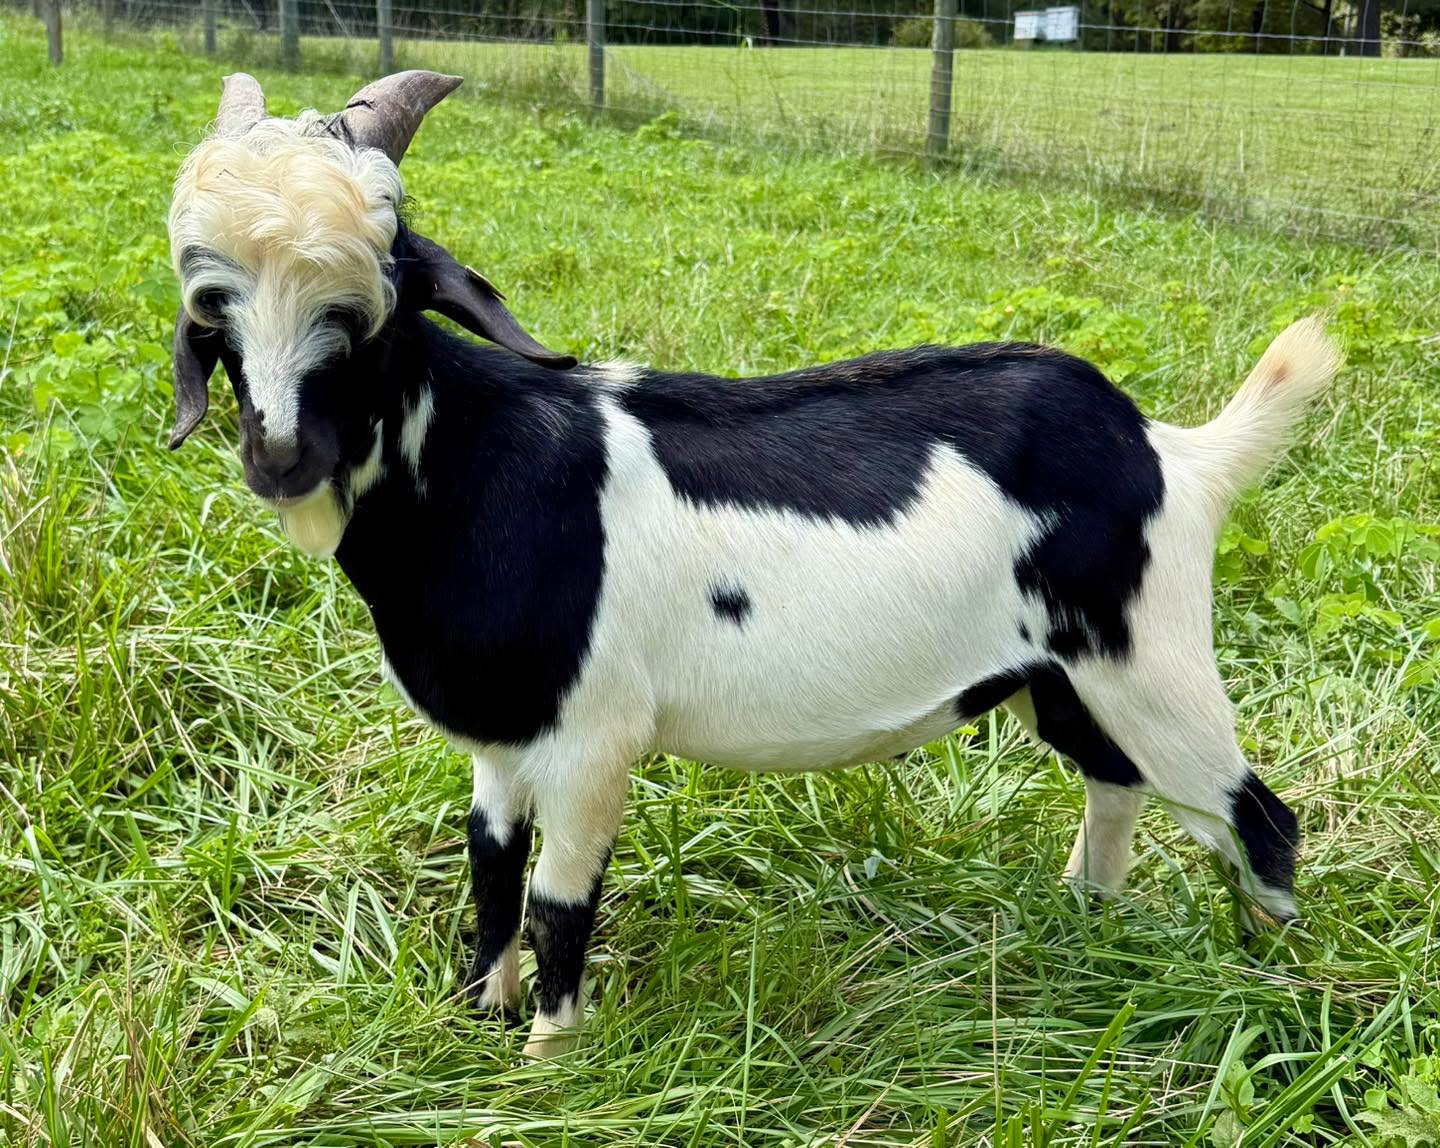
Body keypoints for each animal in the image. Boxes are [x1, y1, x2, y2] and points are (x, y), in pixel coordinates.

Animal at [168, 71, 1343, 1057]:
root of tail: (1173, 452)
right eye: (213, 309)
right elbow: (492, 868)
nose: (281, 455)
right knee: (1115, 780)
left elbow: (557, 901)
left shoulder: (595, 737)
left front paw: (547, 1062)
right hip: (1062, 676)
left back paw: (1269, 987)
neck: (484, 466)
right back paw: (1085, 924)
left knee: (1257, 819)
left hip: (1152, 660)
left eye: (377, 299)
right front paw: (476, 1019)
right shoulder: (503, 736)